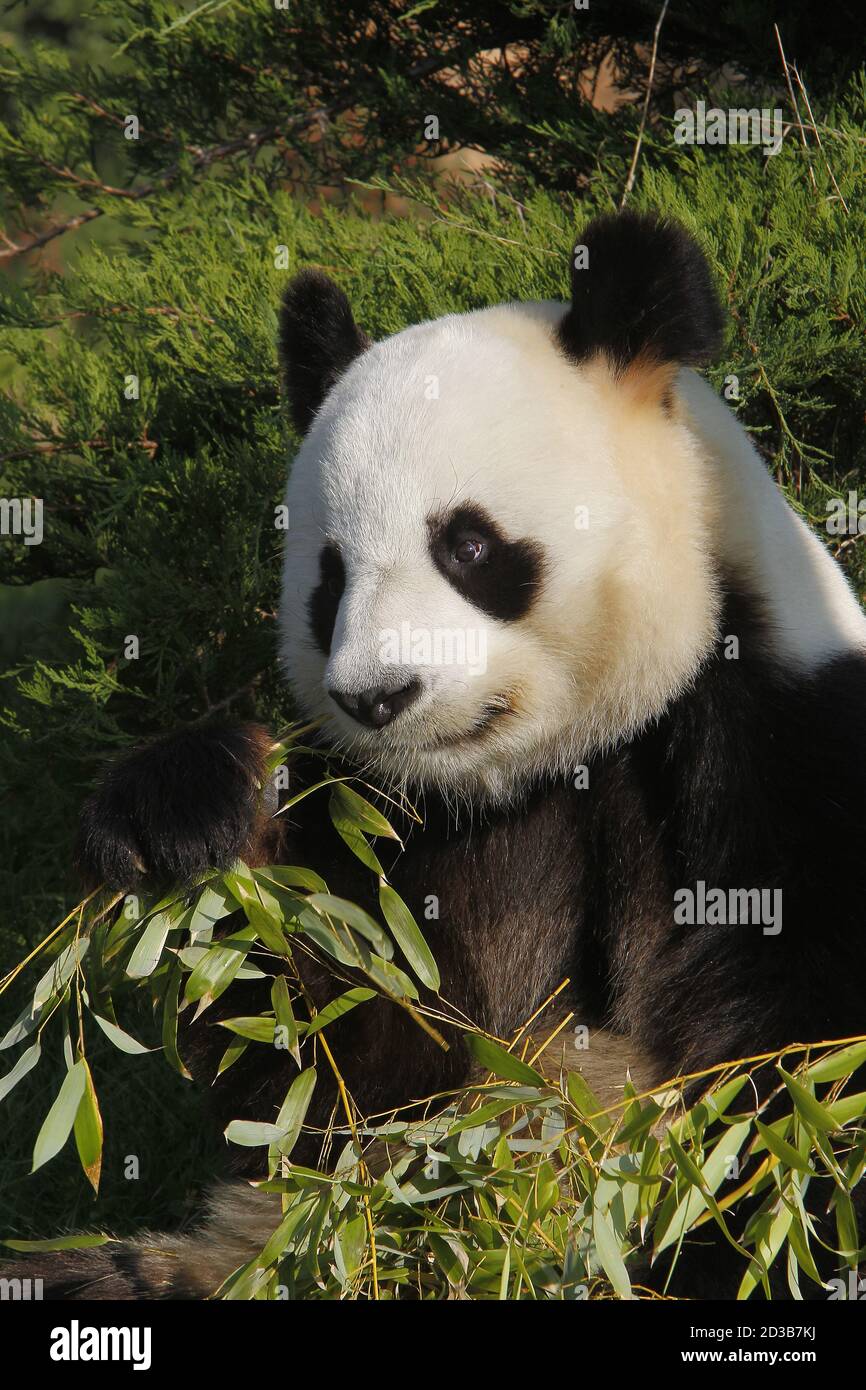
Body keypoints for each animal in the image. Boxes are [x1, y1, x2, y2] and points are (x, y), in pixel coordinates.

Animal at [8, 210, 866, 1300]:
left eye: (467, 546)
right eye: (328, 578)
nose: (378, 696)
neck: (528, 769)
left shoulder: (781, 747)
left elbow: (792, 1072)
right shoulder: (384, 823)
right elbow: (335, 1078)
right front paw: (183, 818)